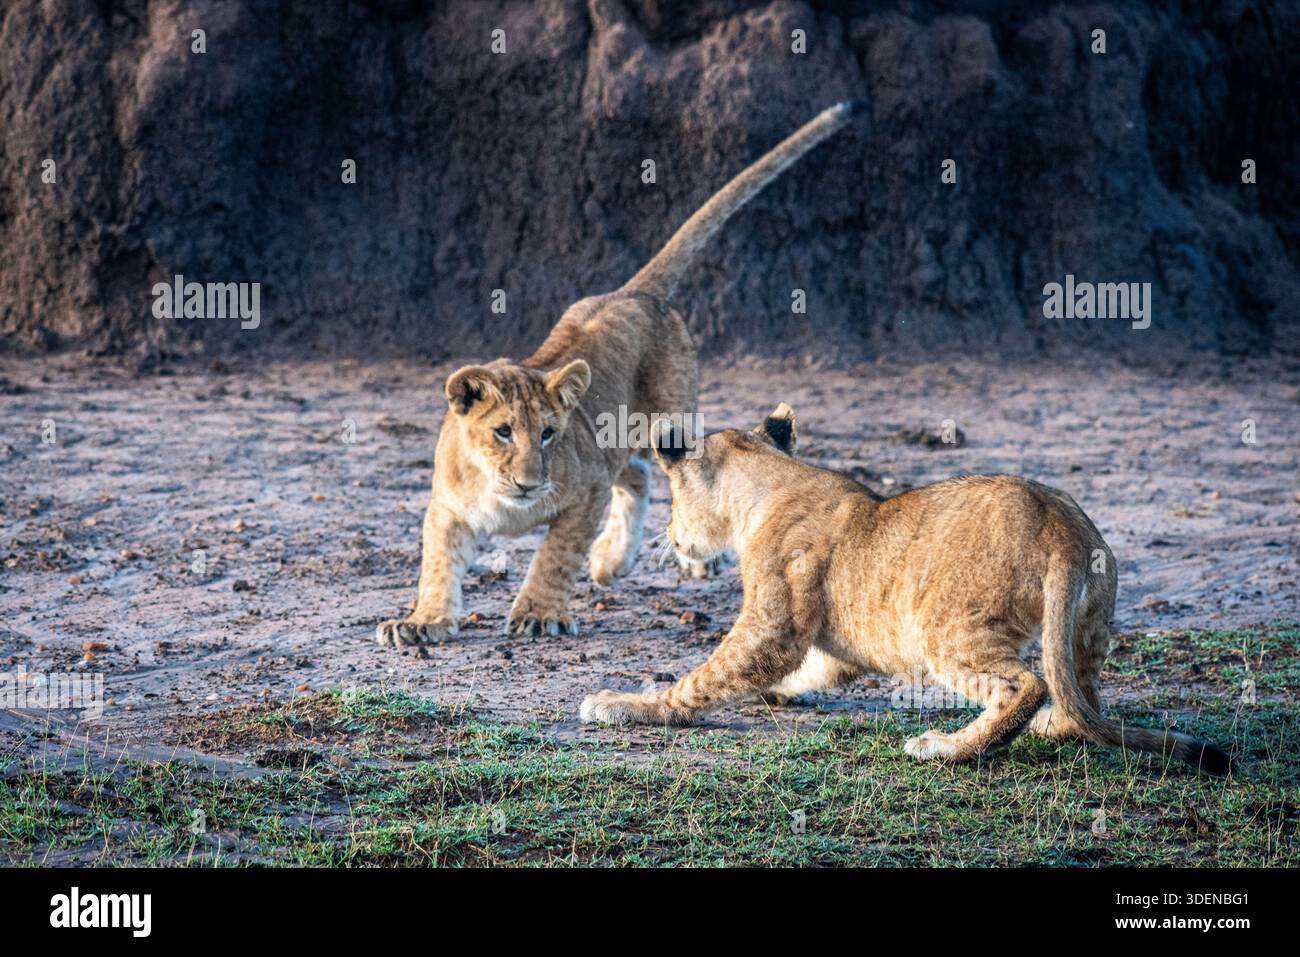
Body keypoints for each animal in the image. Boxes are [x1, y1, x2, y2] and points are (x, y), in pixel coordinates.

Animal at [377, 101, 868, 648]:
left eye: (548, 435)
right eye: (502, 432)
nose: (528, 484)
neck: (501, 495)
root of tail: (634, 293)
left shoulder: (585, 491)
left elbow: (555, 557)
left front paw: (538, 613)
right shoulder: (446, 507)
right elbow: (438, 566)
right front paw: (422, 622)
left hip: (671, 416)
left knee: (675, 472)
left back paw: (690, 558)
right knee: (635, 472)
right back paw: (612, 562)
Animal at [579, 405, 1232, 775]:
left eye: (672, 496)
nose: (671, 535)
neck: (770, 483)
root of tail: (1057, 525)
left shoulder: (773, 624)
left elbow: (705, 677)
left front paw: (626, 705)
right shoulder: (835, 644)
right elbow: (811, 670)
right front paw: (777, 694)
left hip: (945, 628)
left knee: (1025, 685)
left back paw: (945, 747)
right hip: (1087, 629)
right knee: (1080, 699)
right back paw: (1054, 723)